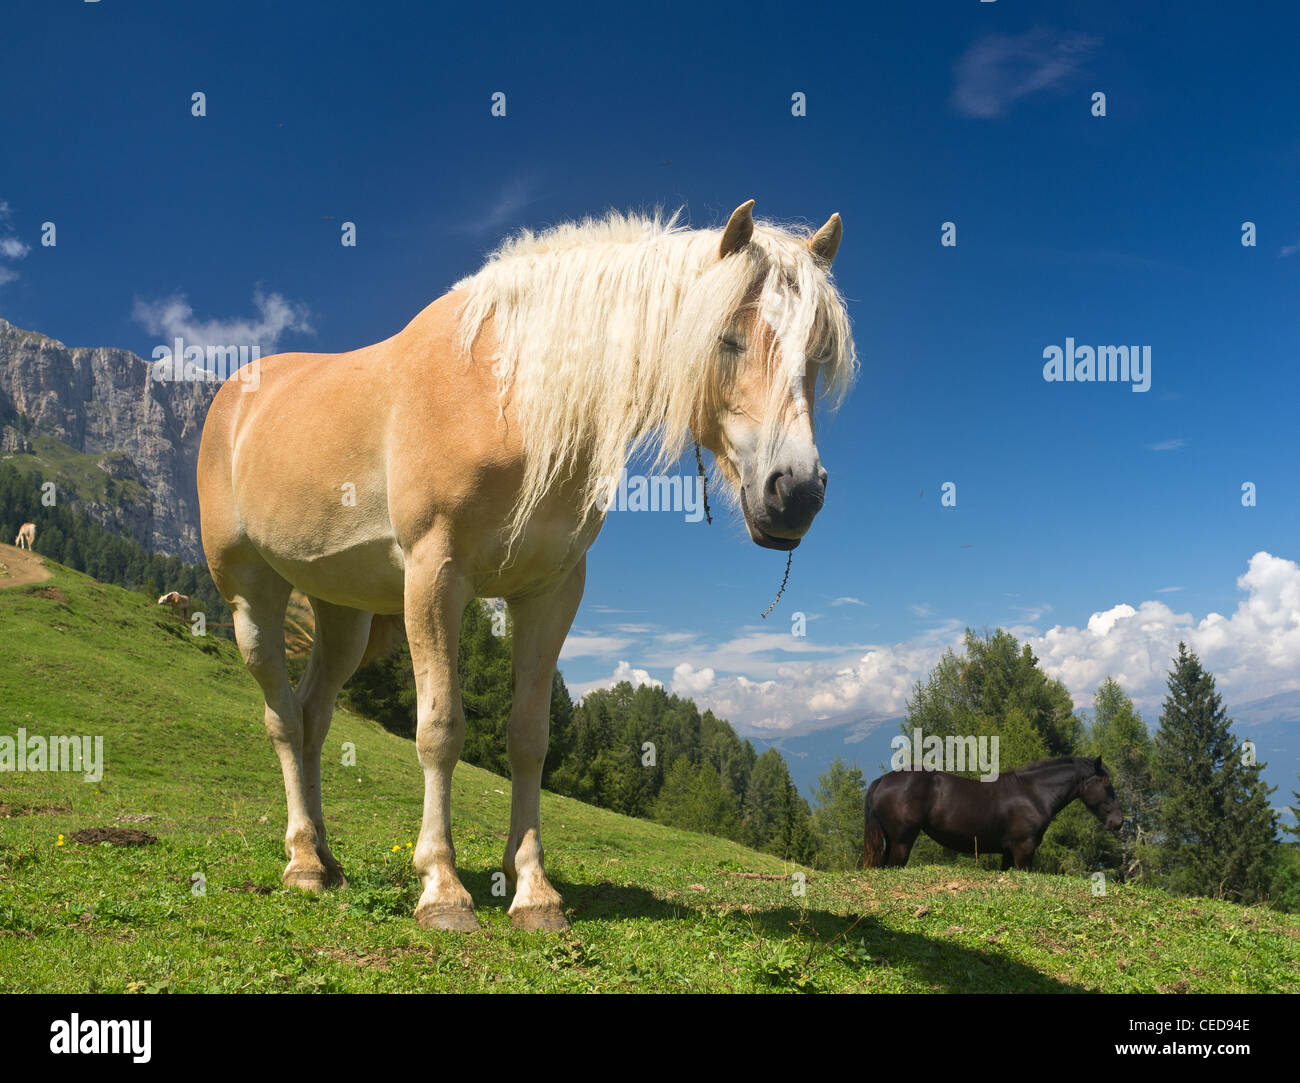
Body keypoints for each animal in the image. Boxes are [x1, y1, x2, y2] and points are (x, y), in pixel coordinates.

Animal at [197, 200, 857, 932]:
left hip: (343, 612)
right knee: (283, 718)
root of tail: (236, 395)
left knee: (314, 717)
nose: (795, 493)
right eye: (729, 340)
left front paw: (533, 889)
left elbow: (529, 738)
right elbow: (441, 728)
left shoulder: (551, 591)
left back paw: (324, 857)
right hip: (250, 592)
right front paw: (442, 887)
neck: (506, 398)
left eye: (818, 354)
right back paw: (303, 865)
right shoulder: (434, 576)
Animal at [861, 755, 1123, 871]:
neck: (1033, 794)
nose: (1118, 822)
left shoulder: (1008, 852)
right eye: (1106, 783)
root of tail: (882, 780)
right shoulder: (1023, 851)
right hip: (902, 842)